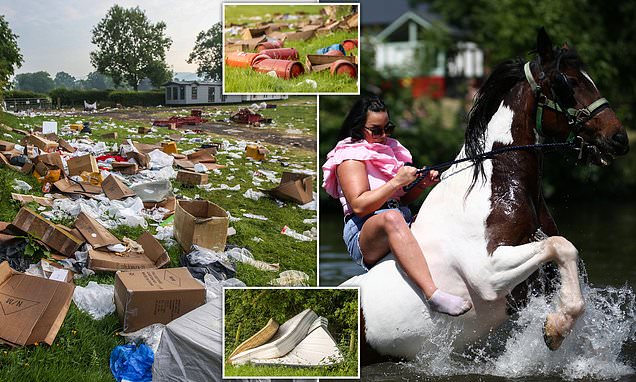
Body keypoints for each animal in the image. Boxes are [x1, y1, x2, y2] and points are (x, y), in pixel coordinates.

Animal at [342, 28, 628, 362]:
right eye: (565, 83)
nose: (619, 138)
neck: (494, 187)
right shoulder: (489, 273)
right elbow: (561, 246)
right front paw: (555, 330)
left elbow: (566, 259)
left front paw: (560, 327)